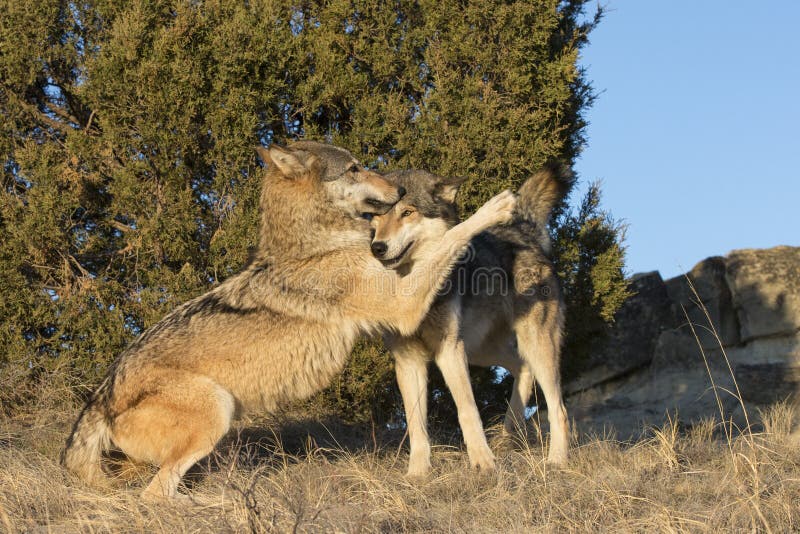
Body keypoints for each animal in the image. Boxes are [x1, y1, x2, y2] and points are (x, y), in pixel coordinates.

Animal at [61, 141, 517, 499]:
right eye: (354, 167)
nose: (401, 188)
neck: (318, 241)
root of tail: (100, 398)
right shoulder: (400, 303)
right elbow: (450, 239)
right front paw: (495, 207)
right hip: (218, 409)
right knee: (155, 494)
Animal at [369, 164, 571, 477]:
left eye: (407, 212)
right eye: (376, 219)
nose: (377, 247)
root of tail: (523, 231)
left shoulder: (449, 351)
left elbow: (467, 410)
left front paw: (483, 464)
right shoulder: (408, 360)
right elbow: (416, 425)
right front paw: (417, 474)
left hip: (532, 346)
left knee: (558, 410)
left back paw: (556, 461)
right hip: (481, 351)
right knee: (522, 368)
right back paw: (509, 433)